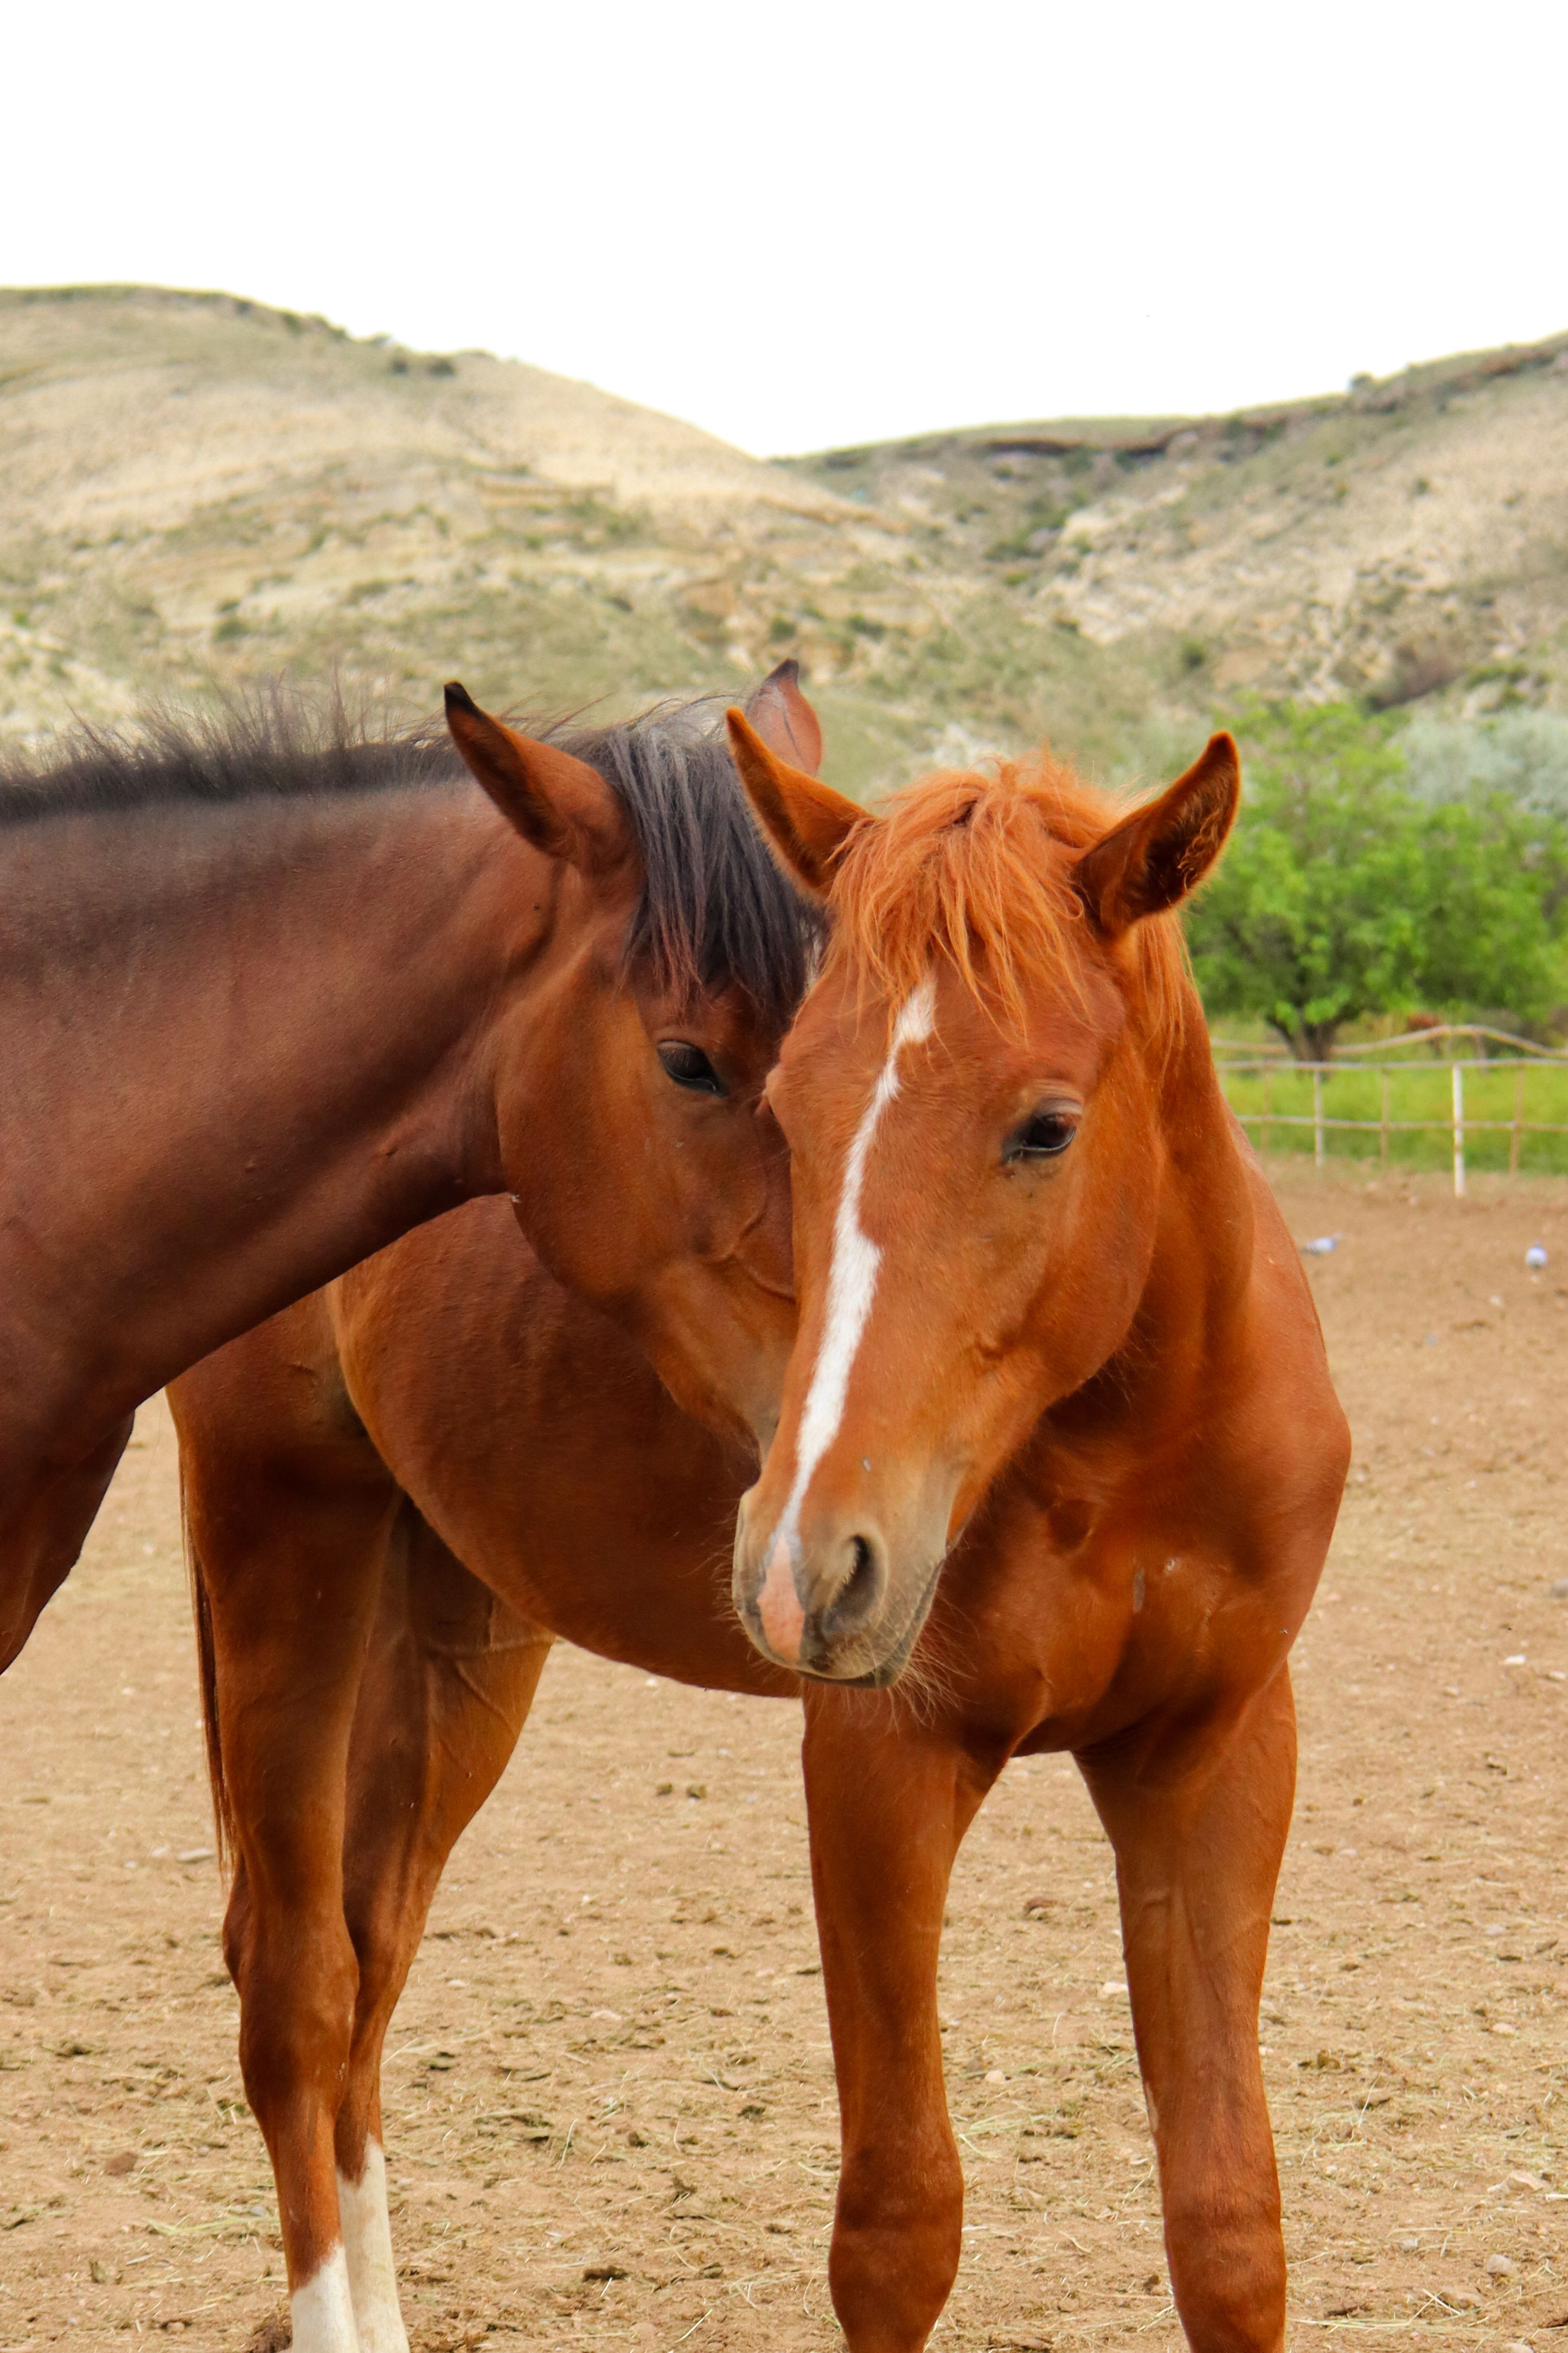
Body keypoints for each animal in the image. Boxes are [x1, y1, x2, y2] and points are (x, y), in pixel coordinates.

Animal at [170, 722, 1347, 2353]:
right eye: (784, 1109)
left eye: (1045, 1125)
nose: (812, 1559)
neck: (1131, 1453)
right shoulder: (881, 1764)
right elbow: (900, 2224)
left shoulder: (1213, 1756)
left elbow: (1228, 2225)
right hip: (287, 1547)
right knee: (297, 1984)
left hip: (458, 1629)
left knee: (369, 1957)